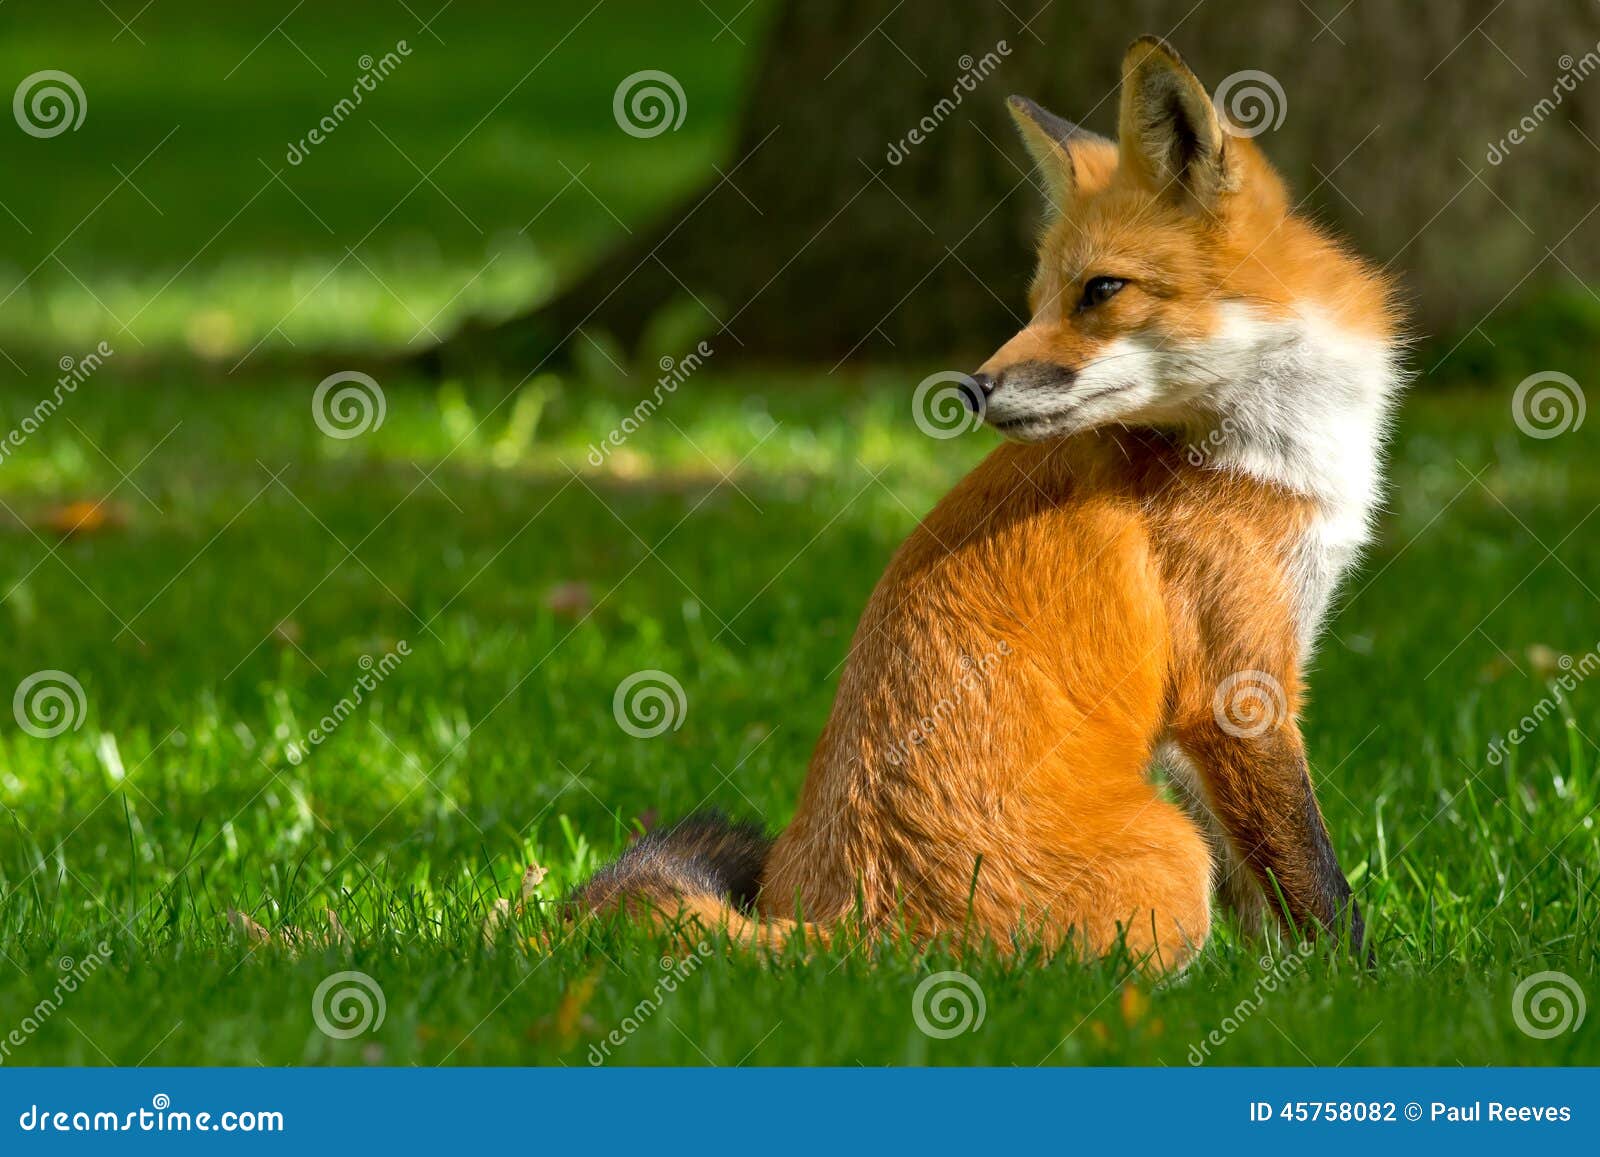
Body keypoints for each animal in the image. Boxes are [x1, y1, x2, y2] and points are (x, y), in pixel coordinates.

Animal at [572, 36, 1402, 971]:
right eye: (1038, 298)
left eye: (1100, 290)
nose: (971, 387)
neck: (1265, 445)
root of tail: (856, 926)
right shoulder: (1235, 691)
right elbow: (1313, 876)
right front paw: (1362, 980)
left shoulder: (1214, 707)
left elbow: (1262, 888)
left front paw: (1289, 976)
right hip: (1168, 854)